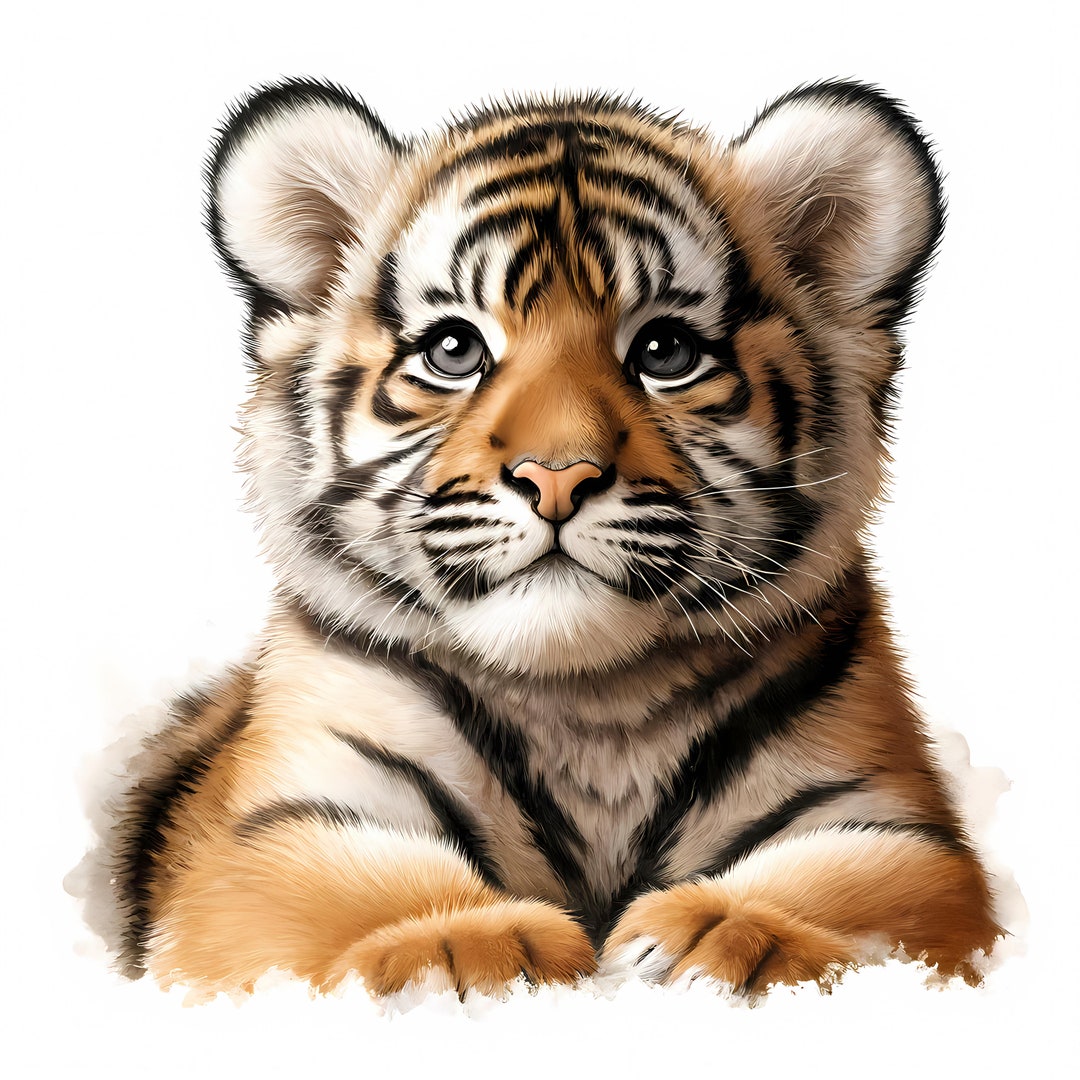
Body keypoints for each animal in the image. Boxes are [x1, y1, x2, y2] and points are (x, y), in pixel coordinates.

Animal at [105, 78, 1002, 999]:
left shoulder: (887, 821)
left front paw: (723, 941)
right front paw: (469, 951)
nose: (558, 478)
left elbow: (857, 892)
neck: (591, 708)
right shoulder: (281, 819)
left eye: (665, 351)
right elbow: (356, 887)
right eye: (454, 349)